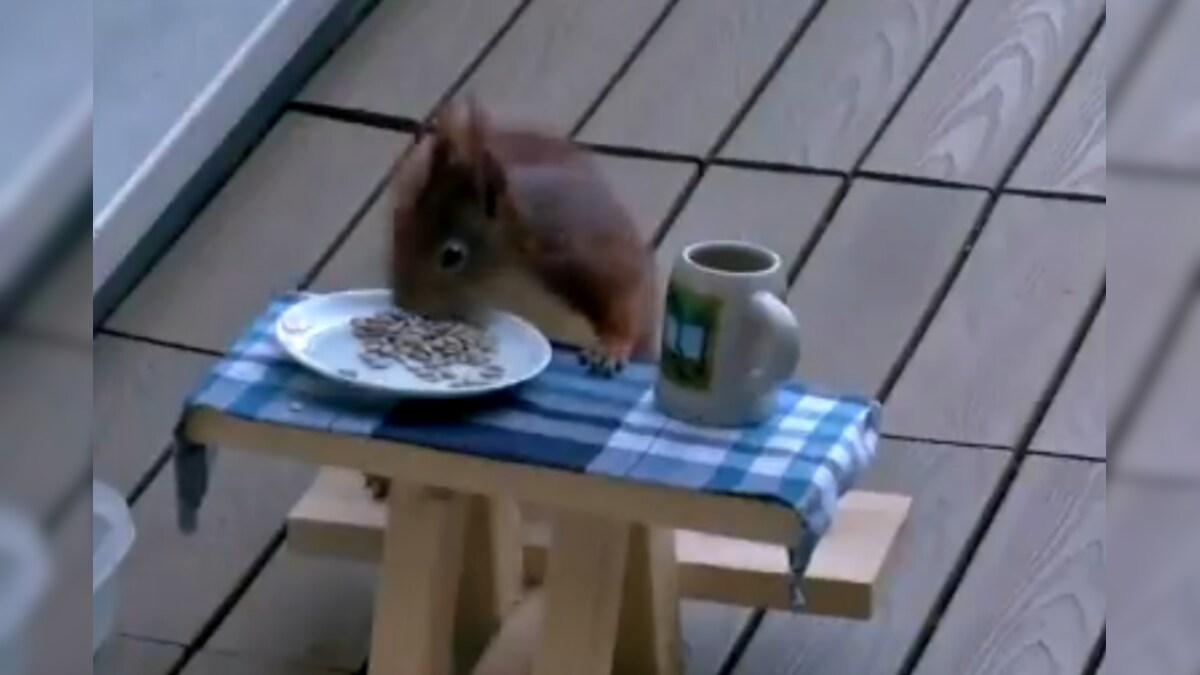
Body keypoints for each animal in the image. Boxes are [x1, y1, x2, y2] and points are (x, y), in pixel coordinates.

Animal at [366, 98, 659, 500]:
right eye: (400, 229)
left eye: (452, 255)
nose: (406, 306)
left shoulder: (583, 252)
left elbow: (625, 300)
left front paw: (611, 348)